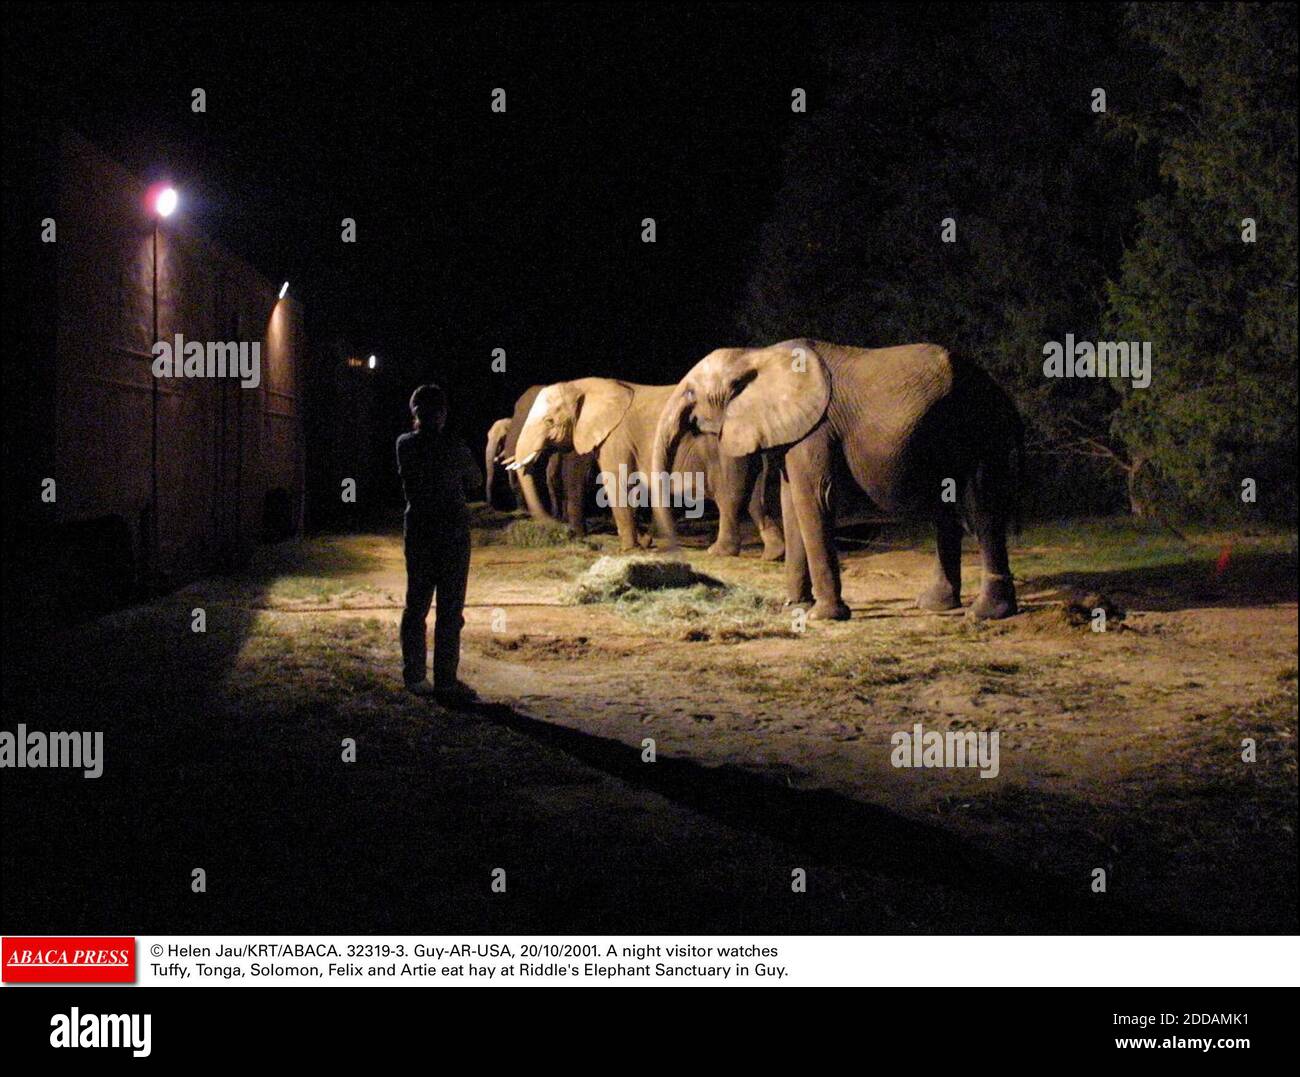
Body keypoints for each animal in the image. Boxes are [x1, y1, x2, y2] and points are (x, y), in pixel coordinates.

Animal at [654, 340, 1023, 620]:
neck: (756, 355)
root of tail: (1002, 395)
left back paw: (986, 613)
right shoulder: (794, 429)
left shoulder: (816, 430)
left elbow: (812, 499)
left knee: (982, 510)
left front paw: (824, 616)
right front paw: (795, 608)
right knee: (946, 511)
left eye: (690, 394)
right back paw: (936, 606)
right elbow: (791, 503)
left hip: (979, 431)